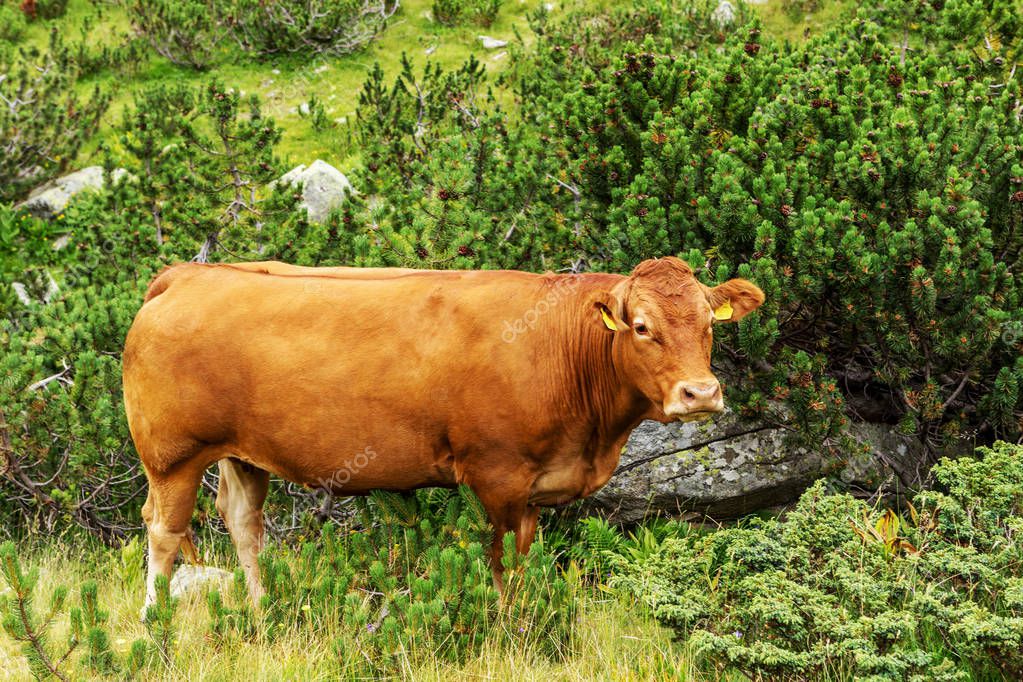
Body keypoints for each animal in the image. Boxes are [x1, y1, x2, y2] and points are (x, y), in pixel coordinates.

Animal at [122, 257, 764, 614]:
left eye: (709, 324)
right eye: (641, 327)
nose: (700, 394)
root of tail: (188, 275)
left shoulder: (534, 486)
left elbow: (524, 560)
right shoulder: (497, 475)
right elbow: (502, 567)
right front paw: (507, 627)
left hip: (242, 453)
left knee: (243, 522)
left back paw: (261, 613)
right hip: (173, 454)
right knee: (163, 530)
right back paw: (153, 625)